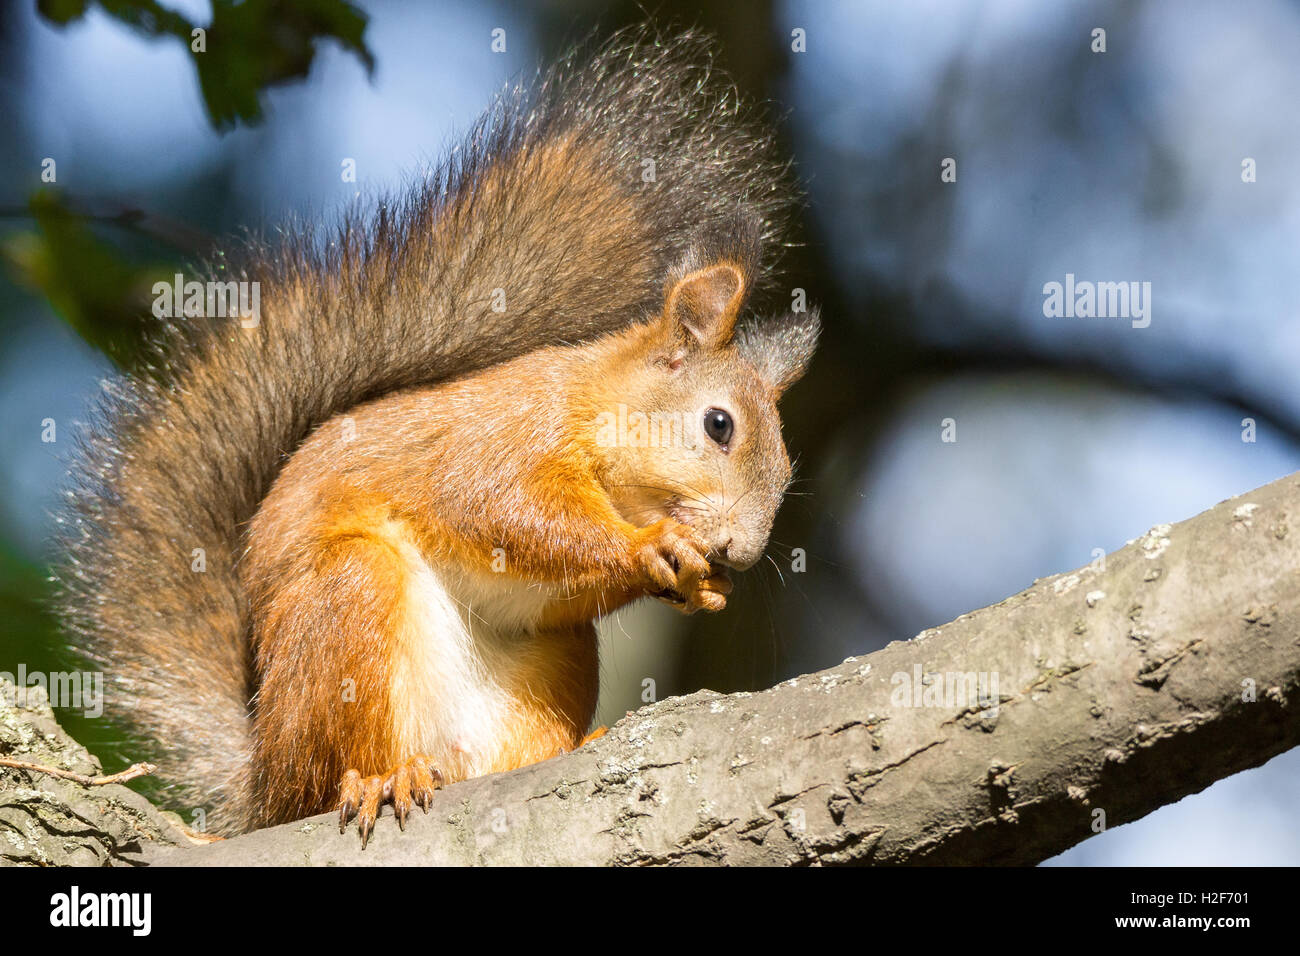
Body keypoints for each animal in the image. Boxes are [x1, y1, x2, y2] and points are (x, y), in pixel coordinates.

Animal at [54, 28, 819, 843]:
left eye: (784, 466)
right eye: (718, 425)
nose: (741, 551)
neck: (593, 410)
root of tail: (261, 781)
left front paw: (704, 587)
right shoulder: (499, 440)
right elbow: (501, 510)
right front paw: (651, 549)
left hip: (551, 664)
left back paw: (572, 745)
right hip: (346, 609)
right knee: (327, 775)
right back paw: (378, 779)